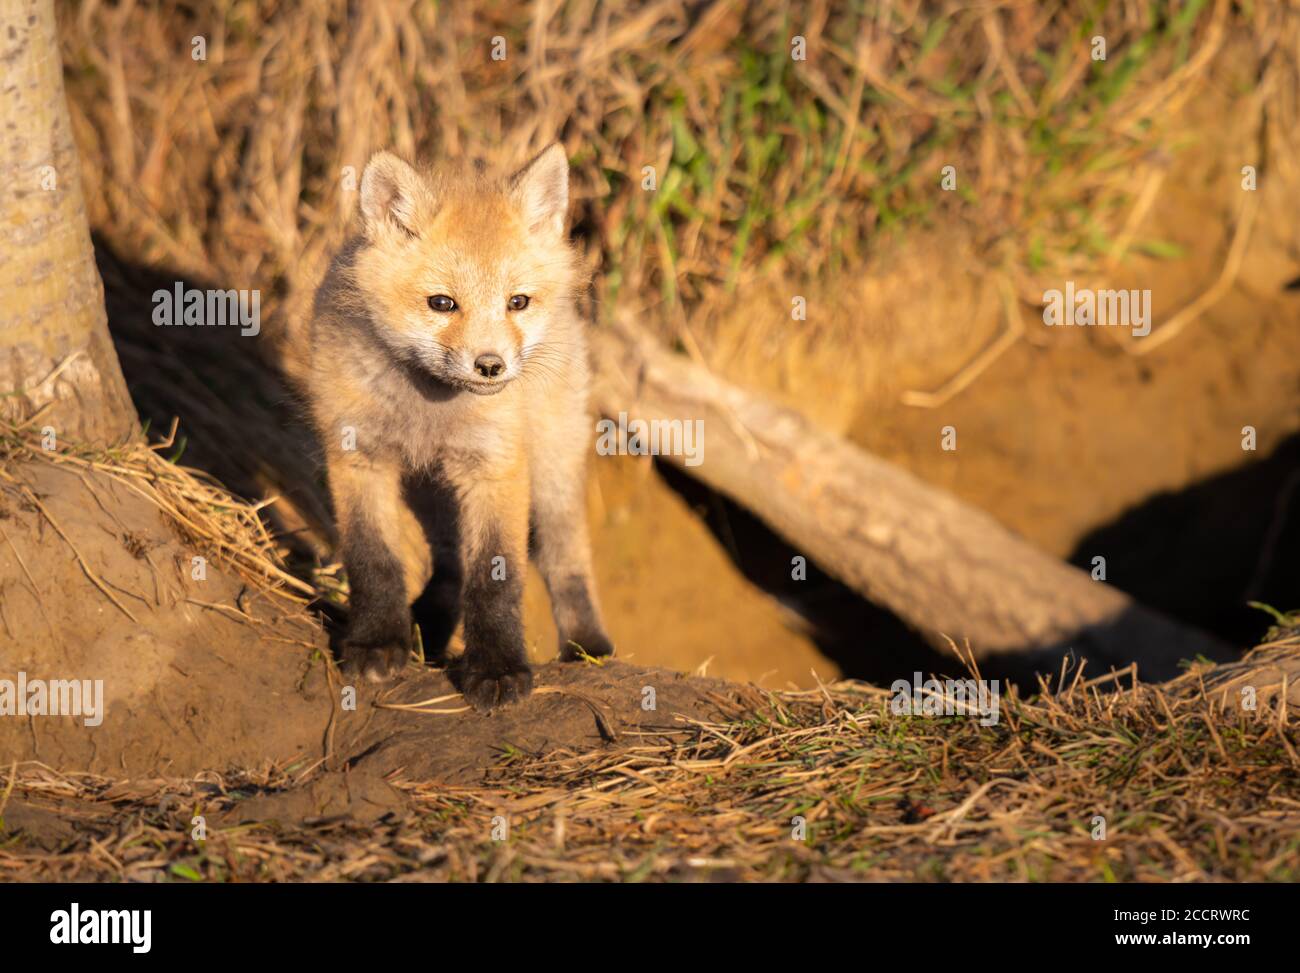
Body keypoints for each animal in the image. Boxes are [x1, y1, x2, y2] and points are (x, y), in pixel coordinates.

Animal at [305, 143, 615, 711]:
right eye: (442, 303)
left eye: (517, 302)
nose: (491, 366)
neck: (427, 412)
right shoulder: (357, 455)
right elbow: (373, 558)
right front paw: (378, 642)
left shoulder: (496, 466)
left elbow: (496, 577)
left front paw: (497, 669)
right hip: (432, 486)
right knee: (448, 560)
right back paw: (427, 625)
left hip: (553, 465)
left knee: (567, 554)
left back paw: (587, 645)